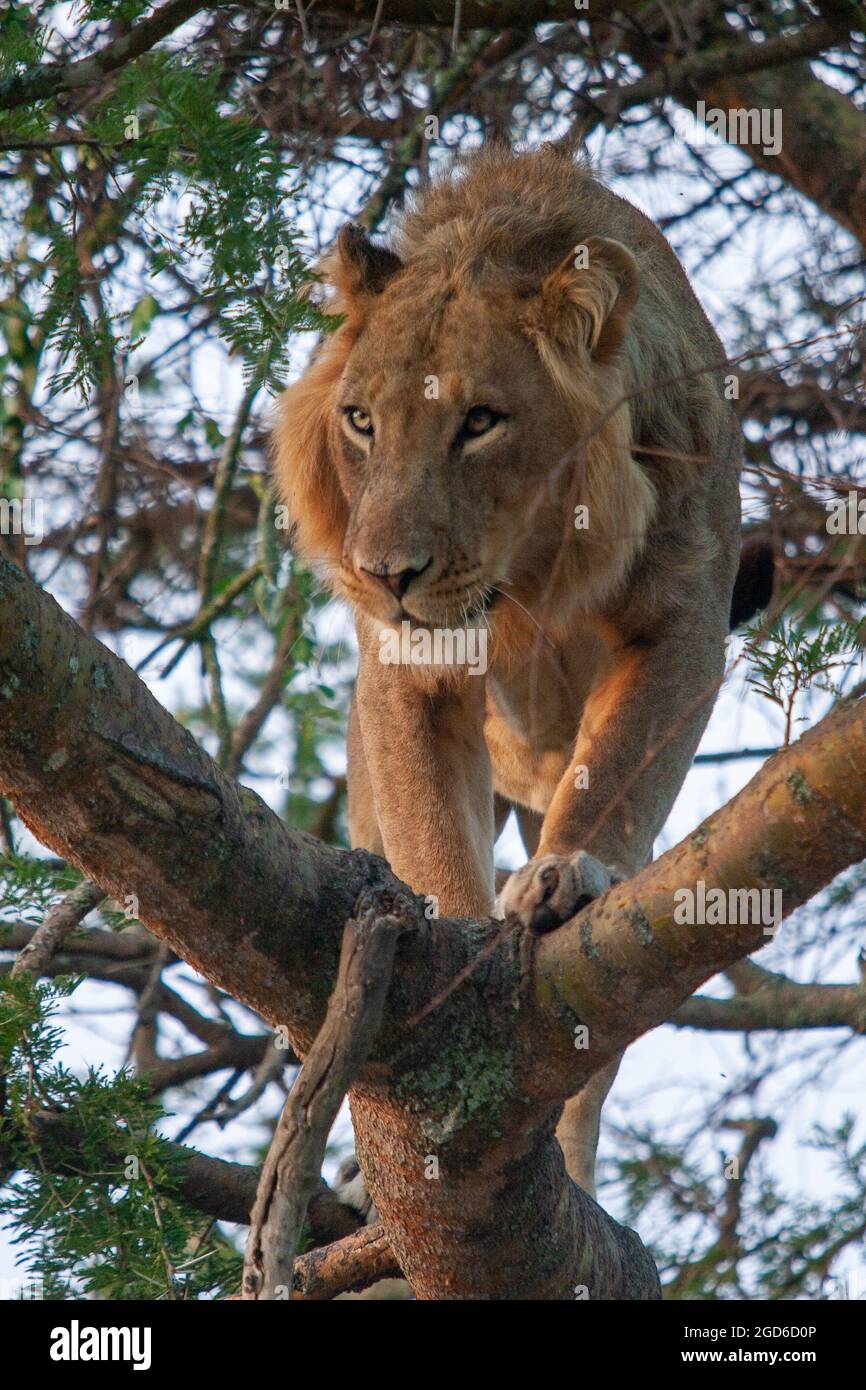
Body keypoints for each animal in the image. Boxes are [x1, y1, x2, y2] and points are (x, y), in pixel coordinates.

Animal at [273, 143, 769, 1196]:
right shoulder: (406, 674)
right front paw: (458, 950)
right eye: (361, 421)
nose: (386, 574)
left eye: (481, 422)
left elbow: (618, 769)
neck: (529, 580)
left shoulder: (682, 622)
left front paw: (562, 877)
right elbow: (431, 834)